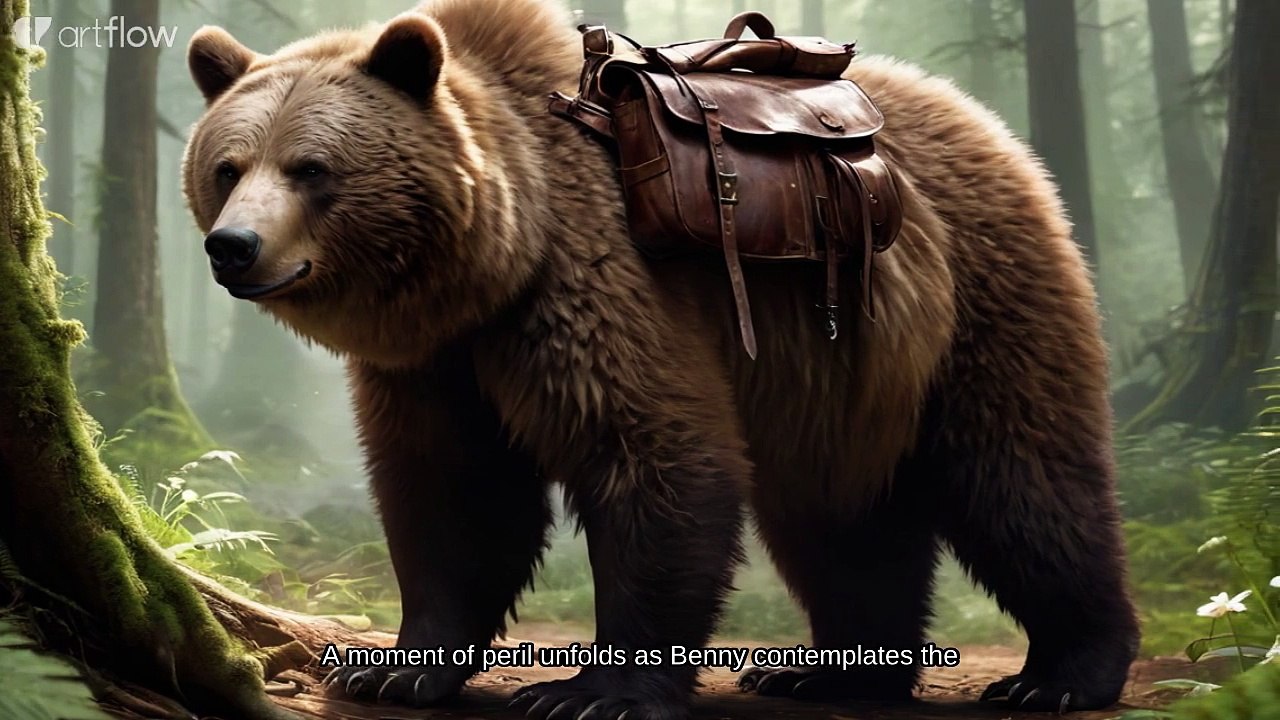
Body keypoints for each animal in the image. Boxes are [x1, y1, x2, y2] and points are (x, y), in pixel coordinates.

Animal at [181, 0, 1140, 718]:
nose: (233, 248)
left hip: (976, 294)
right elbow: (453, 494)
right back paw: (828, 668)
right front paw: (394, 666)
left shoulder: (593, 284)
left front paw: (589, 692)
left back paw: (1061, 674)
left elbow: (654, 455)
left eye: (311, 168)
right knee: (839, 515)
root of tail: (990, 125)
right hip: (842, 377)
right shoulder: (436, 363)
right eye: (228, 166)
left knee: (1022, 480)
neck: (489, 265)